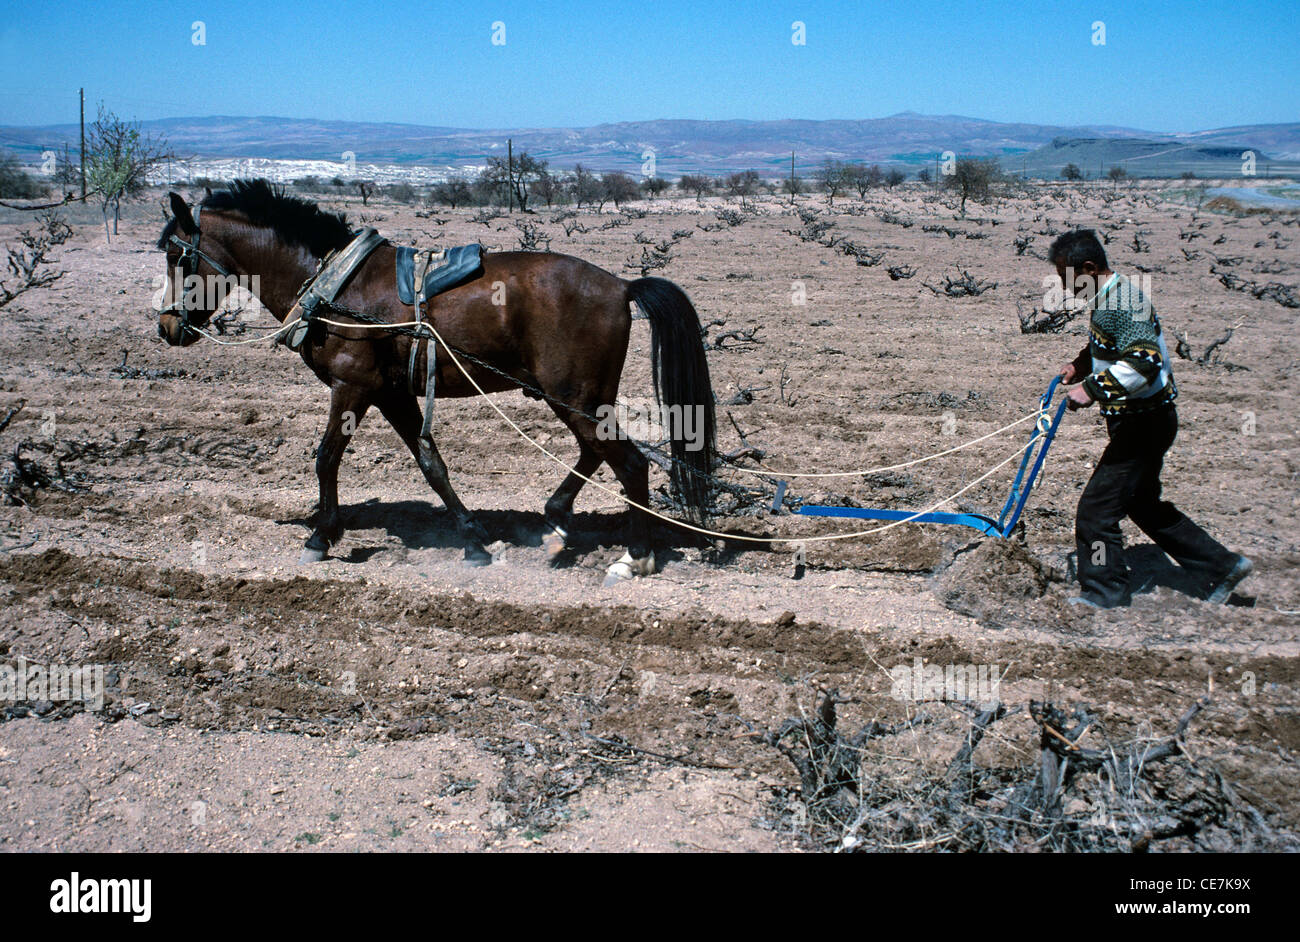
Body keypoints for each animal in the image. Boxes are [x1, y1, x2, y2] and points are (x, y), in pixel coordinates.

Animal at [155, 180, 716, 582]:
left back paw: (634, 556)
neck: (335, 285)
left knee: (630, 463)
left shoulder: (351, 387)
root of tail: (621, 285)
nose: (166, 327)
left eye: (176, 255)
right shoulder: (392, 395)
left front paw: (321, 536)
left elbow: (326, 457)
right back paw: (556, 521)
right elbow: (432, 465)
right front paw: (472, 540)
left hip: (573, 396)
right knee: (596, 453)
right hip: (574, 397)